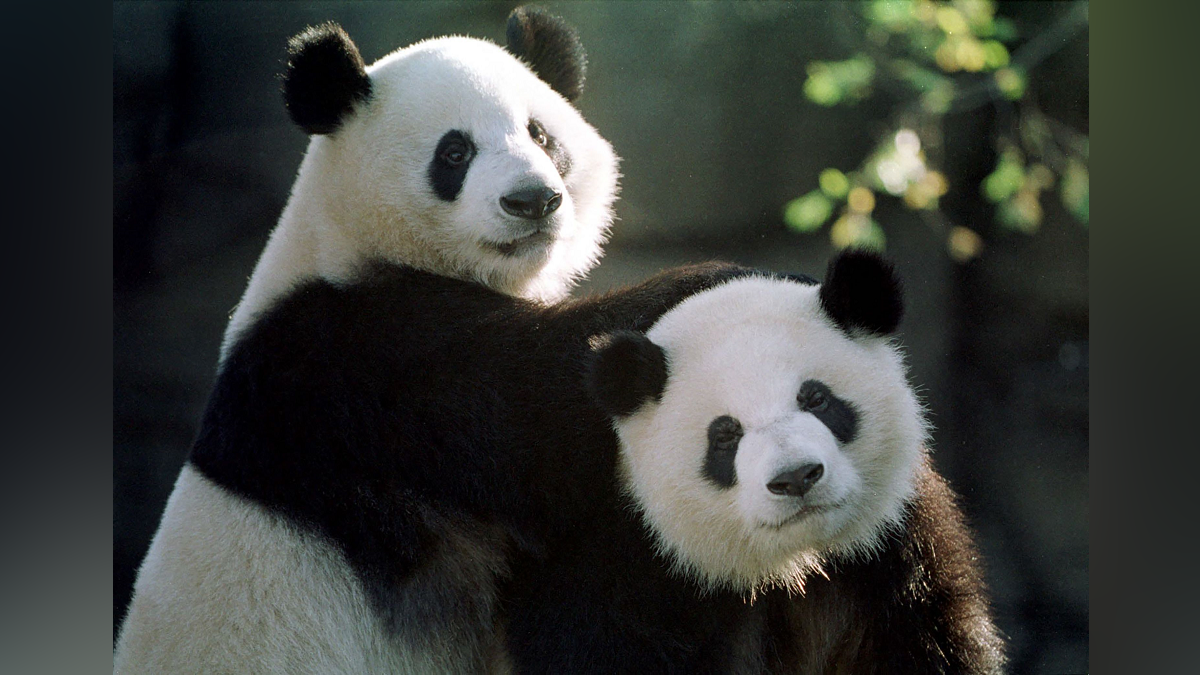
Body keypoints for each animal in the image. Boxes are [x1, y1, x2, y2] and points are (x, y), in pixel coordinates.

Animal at [116, 7, 622, 673]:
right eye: (454, 152)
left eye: (540, 135)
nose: (533, 200)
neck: (349, 241)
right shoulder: (353, 361)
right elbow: (544, 419)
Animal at [499, 250, 1007, 673]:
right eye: (725, 435)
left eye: (816, 399)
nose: (795, 478)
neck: (792, 565)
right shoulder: (622, 570)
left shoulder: (896, 553)